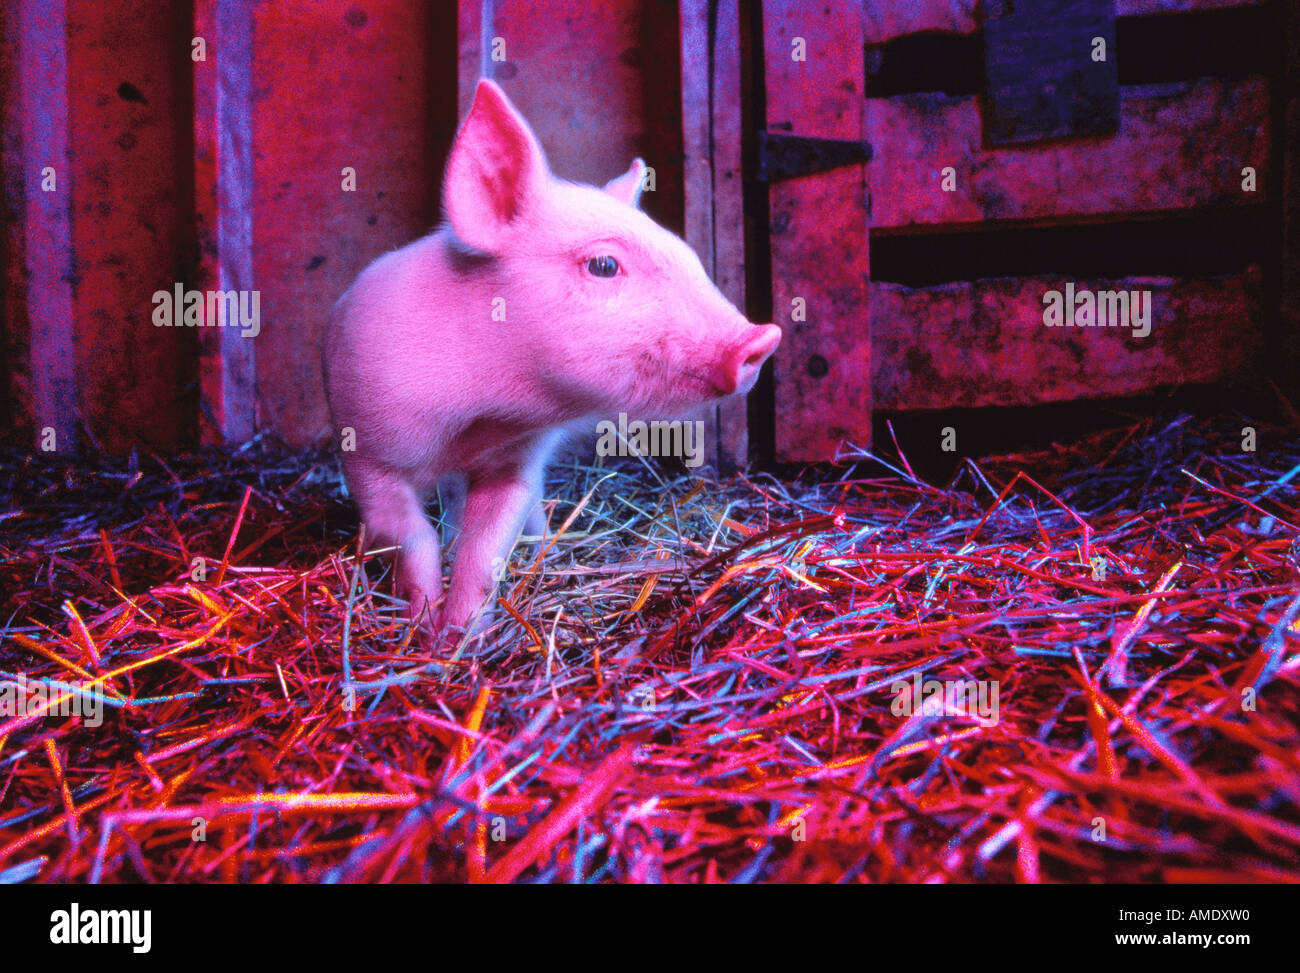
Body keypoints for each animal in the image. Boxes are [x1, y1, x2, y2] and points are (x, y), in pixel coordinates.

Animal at [323, 79, 781, 645]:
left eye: (691, 257)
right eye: (603, 265)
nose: (762, 337)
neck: (477, 416)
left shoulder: (515, 462)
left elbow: (485, 550)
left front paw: (459, 640)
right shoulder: (366, 450)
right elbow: (412, 537)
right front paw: (423, 631)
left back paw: (545, 551)